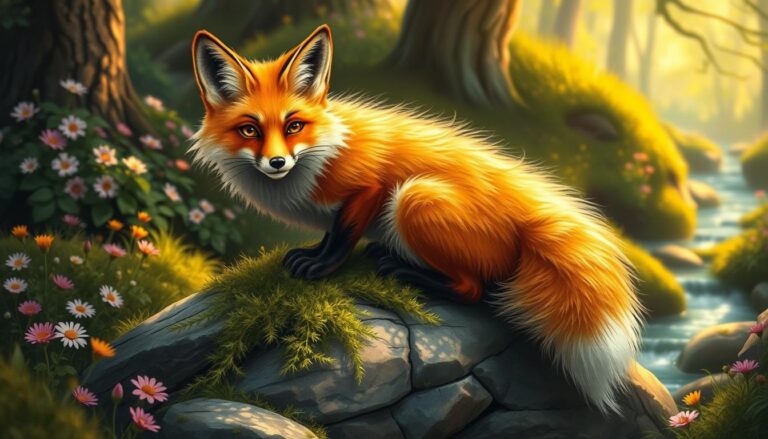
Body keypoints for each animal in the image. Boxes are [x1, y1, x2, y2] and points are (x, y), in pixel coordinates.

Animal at [189, 25, 643, 414]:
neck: (320, 153)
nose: (277, 162)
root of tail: (524, 219)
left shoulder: (367, 190)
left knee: (473, 289)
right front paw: (309, 254)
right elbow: (328, 234)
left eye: (294, 125)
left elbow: (341, 237)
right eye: (249, 130)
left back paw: (403, 269)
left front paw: (320, 267)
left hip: (414, 200)